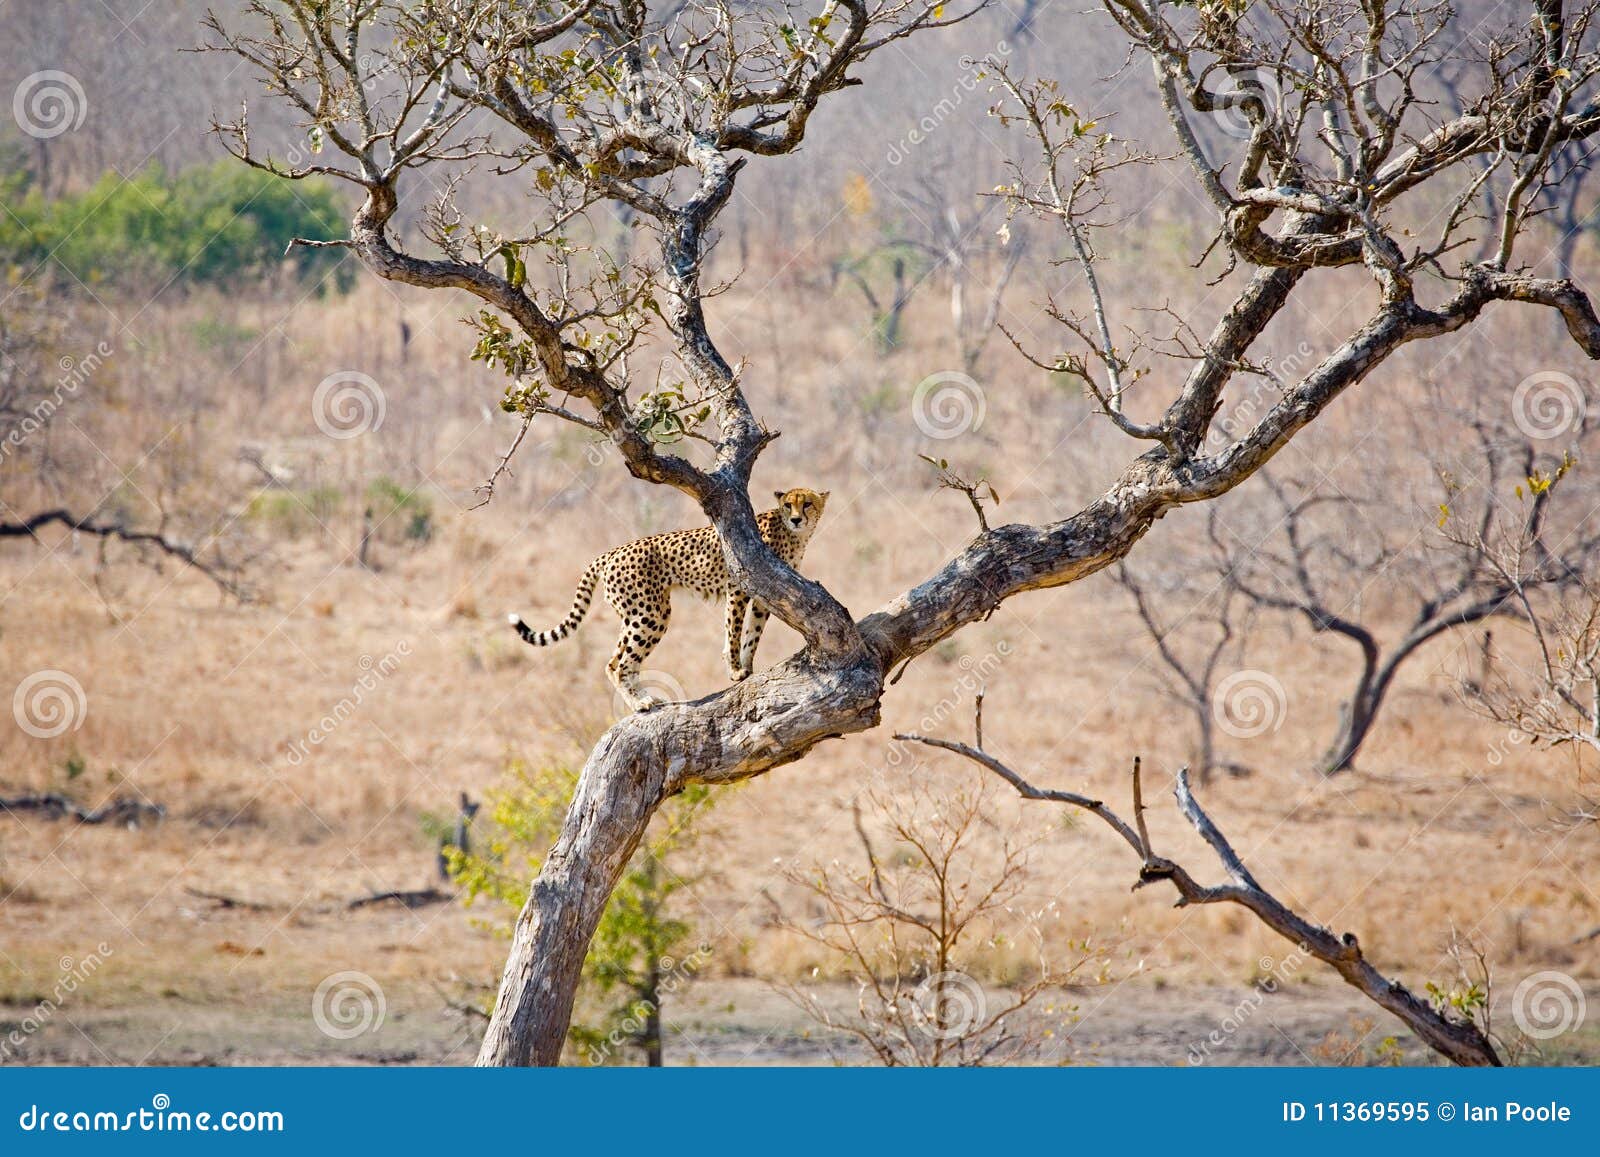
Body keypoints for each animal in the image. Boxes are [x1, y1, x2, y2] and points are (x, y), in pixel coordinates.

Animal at [508, 488, 829, 711]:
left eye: (807, 503)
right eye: (788, 504)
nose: (796, 518)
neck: (793, 535)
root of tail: (613, 551)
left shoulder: (764, 596)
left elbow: (753, 633)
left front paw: (747, 668)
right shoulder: (738, 587)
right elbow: (734, 631)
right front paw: (735, 668)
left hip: (635, 614)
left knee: (614, 661)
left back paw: (641, 699)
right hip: (650, 613)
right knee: (622, 663)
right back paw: (640, 704)